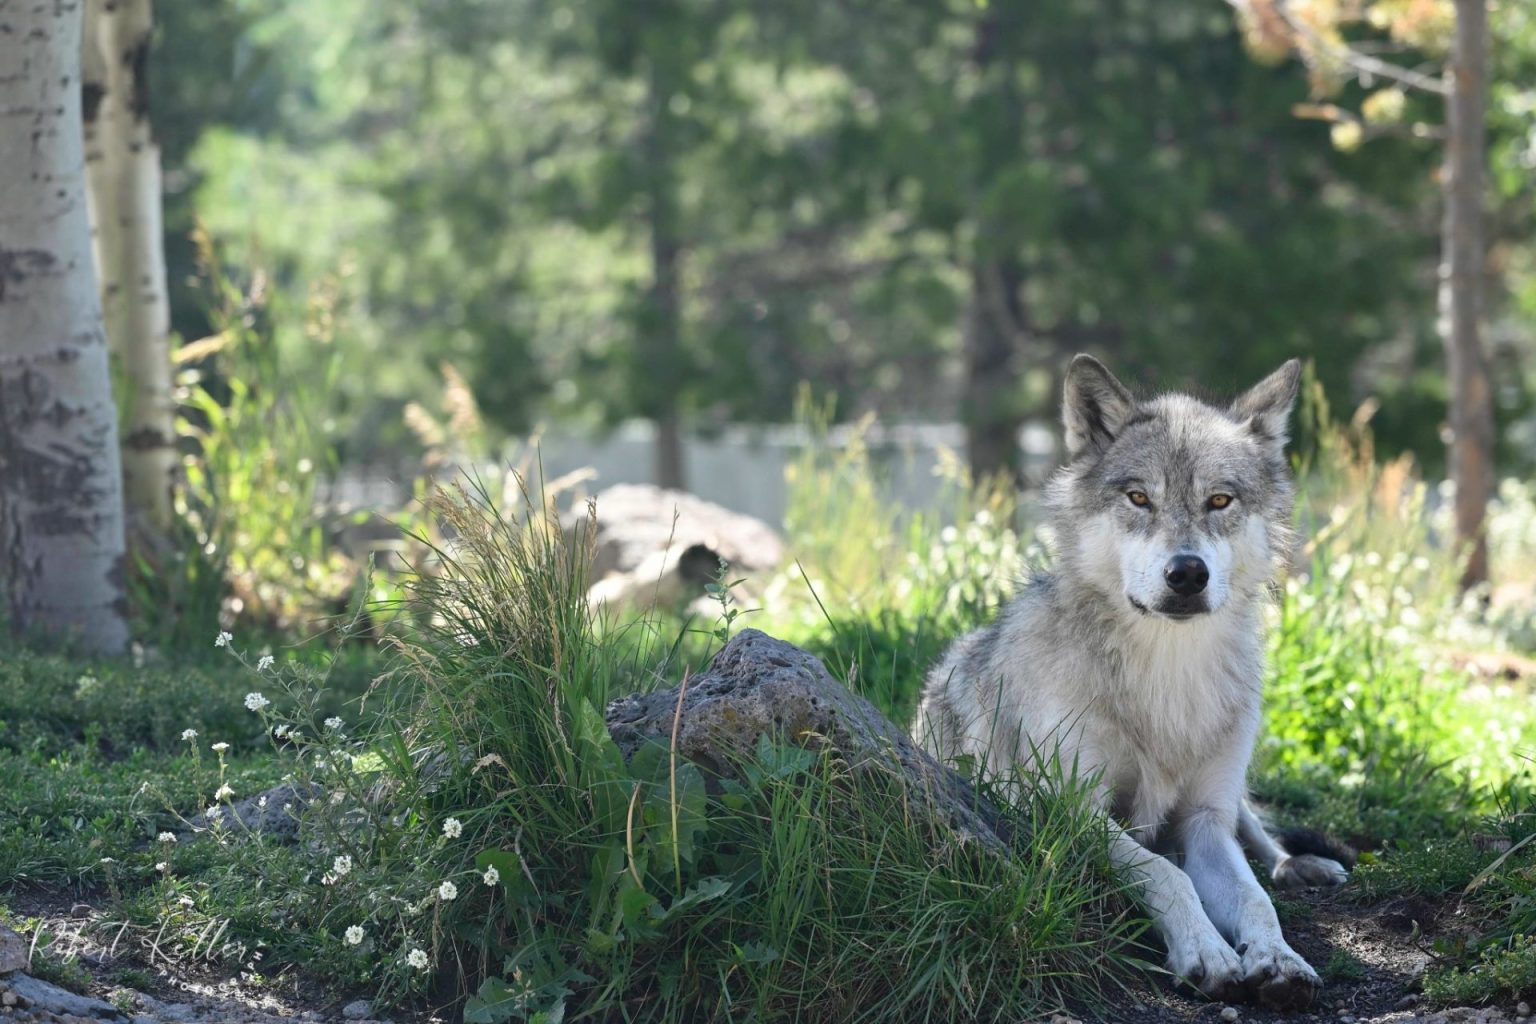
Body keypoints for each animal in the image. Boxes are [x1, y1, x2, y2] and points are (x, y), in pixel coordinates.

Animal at [913, 355, 1348, 1009]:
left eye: (1219, 500)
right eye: (1140, 497)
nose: (1187, 572)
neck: (1167, 675)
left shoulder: (1204, 821)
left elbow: (1254, 900)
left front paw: (1278, 958)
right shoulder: (1071, 809)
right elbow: (1164, 872)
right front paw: (1208, 953)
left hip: (1230, 799)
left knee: (1259, 835)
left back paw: (1302, 865)